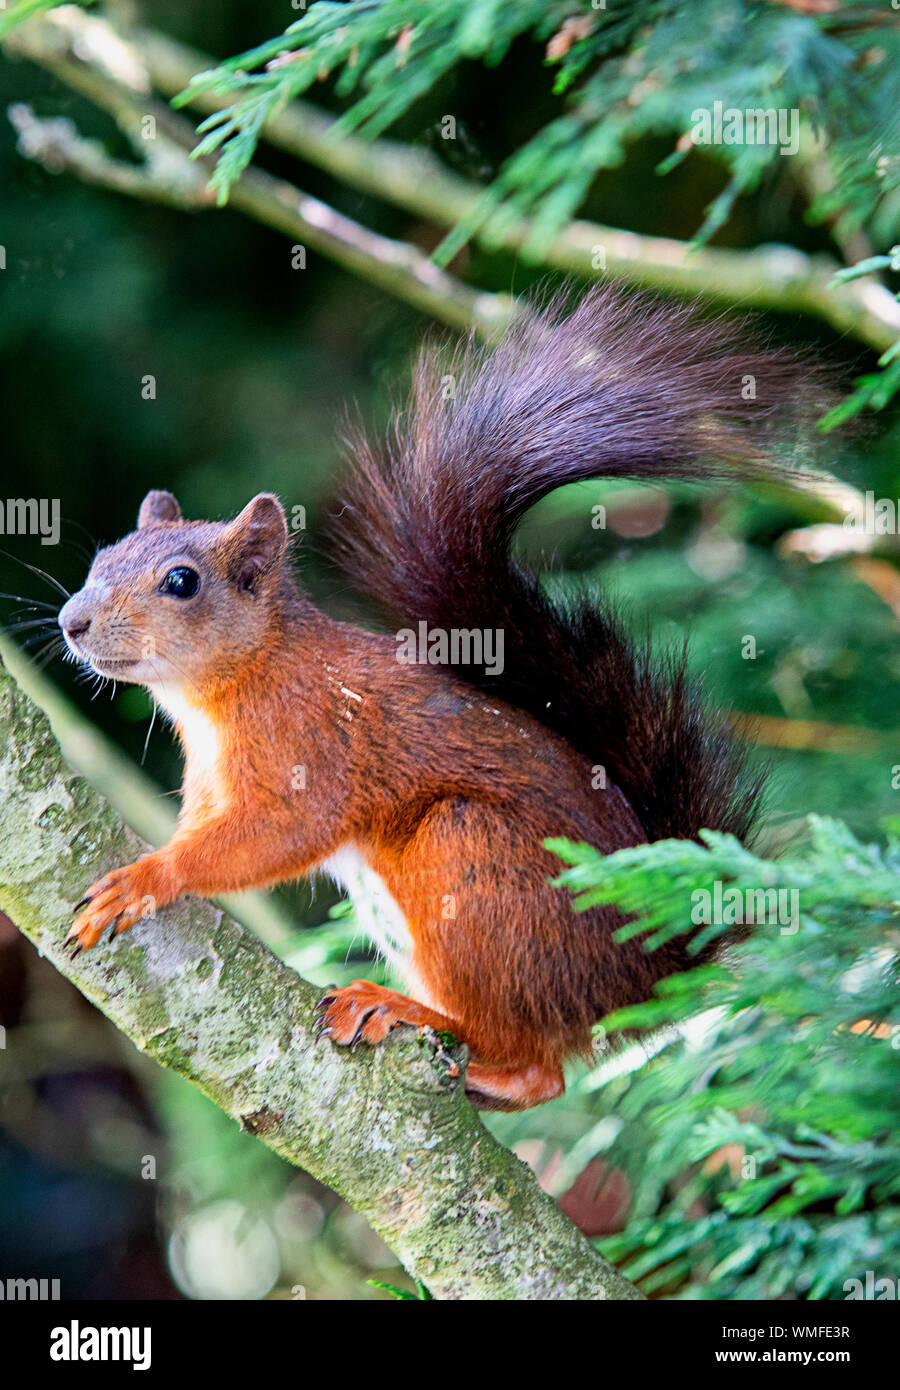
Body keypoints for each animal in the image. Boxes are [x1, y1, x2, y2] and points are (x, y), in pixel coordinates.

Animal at [57, 286, 813, 1111]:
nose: (71, 622)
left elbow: (281, 833)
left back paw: (418, 1019)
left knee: (537, 1066)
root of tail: (644, 973)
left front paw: (149, 878)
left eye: (181, 581)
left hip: (471, 863)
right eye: (102, 557)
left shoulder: (310, 744)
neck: (238, 681)